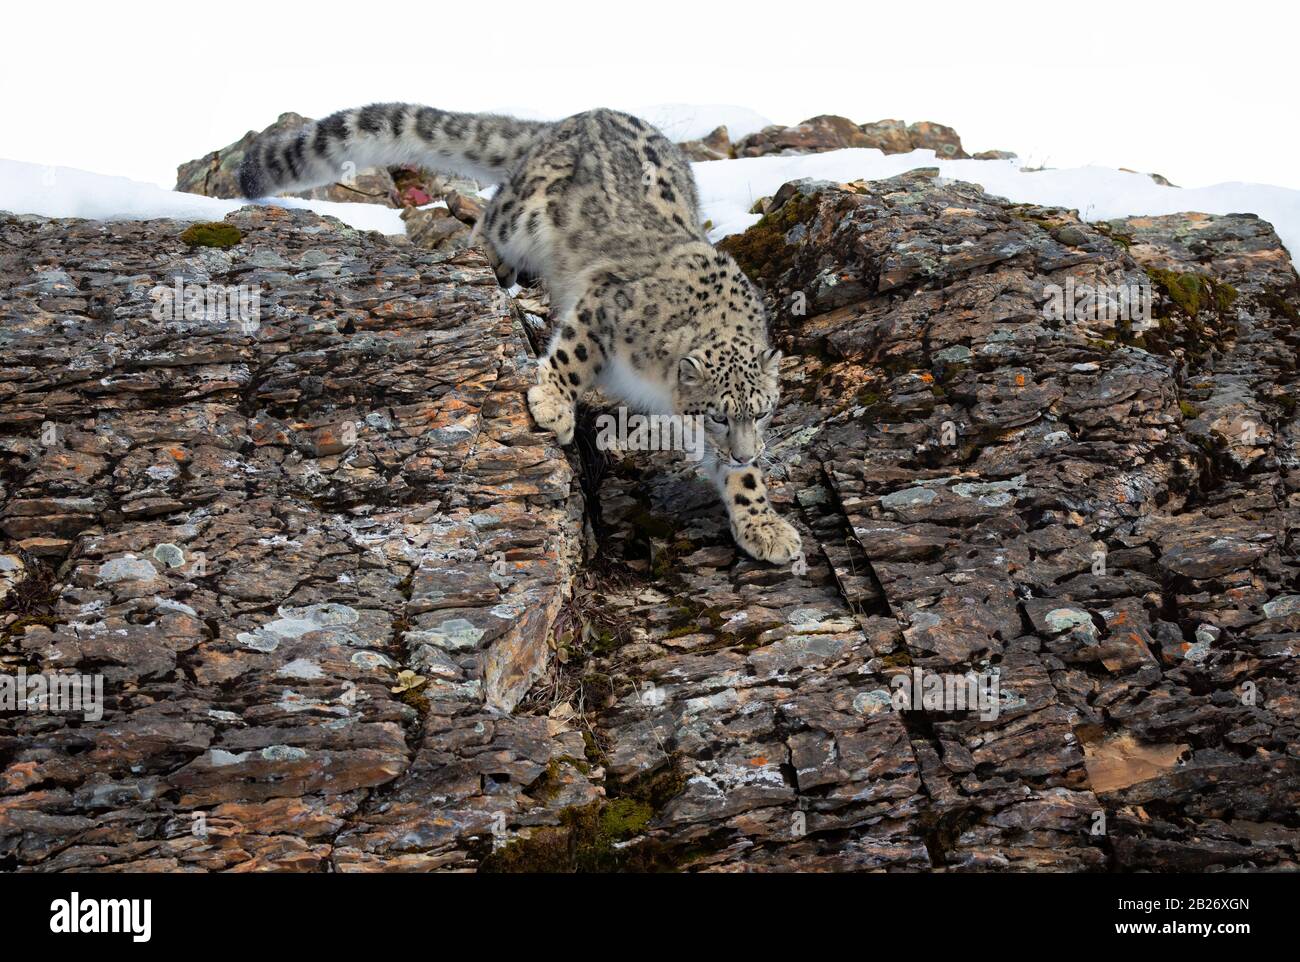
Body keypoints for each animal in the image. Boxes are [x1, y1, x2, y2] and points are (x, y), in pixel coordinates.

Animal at [239, 103, 802, 564]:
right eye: (717, 415)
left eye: (761, 411)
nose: (747, 451)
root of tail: (576, 117)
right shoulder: (601, 305)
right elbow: (573, 354)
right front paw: (553, 404)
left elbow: (739, 482)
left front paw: (765, 526)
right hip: (520, 217)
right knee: (487, 229)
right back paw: (478, 263)